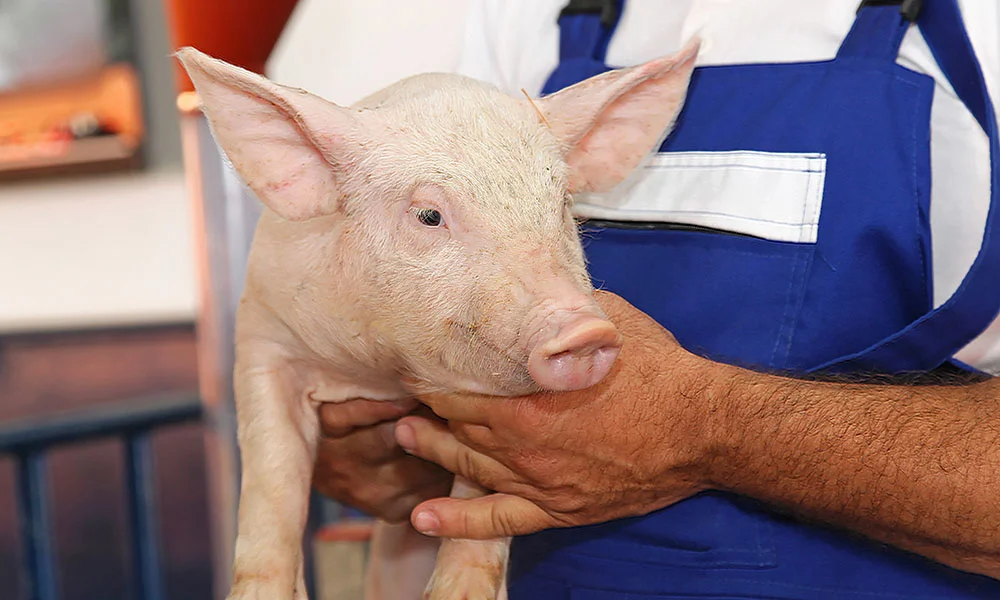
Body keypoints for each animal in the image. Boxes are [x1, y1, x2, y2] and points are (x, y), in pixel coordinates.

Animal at [175, 40, 698, 600]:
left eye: (561, 203)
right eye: (428, 215)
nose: (585, 331)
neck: (382, 369)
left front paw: (457, 591)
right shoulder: (264, 337)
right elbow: (271, 475)